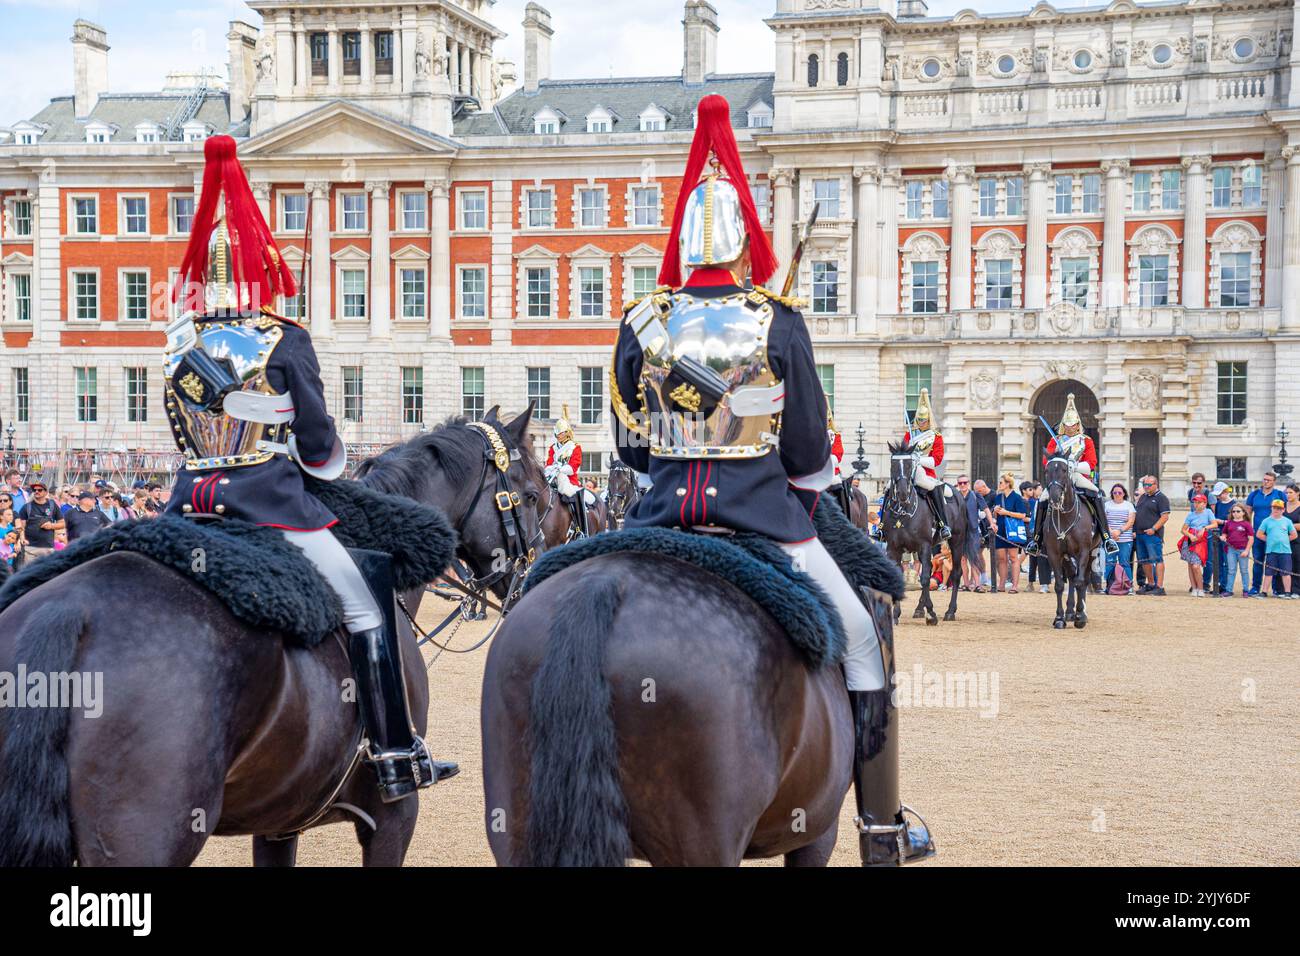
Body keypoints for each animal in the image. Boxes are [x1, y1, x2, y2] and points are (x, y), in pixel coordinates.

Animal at [879, 440, 974, 625]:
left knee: (956, 573)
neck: (903, 511)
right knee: (929, 572)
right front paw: (895, 615)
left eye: (910, 465)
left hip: (956, 542)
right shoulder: (893, 548)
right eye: (893, 465)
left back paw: (950, 611)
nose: (902, 493)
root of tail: (959, 493)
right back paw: (918, 609)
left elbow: (923, 578)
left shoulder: (924, 545)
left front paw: (931, 613)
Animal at [1040, 456, 1099, 630]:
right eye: (1046, 470)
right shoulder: (1055, 554)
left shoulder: (1084, 552)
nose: (1054, 497)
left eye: (1065, 470)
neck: (1066, 516)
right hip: (1067, 557)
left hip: (1093, 552)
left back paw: (1081, 613)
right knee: (1072, 577)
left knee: (1083, 579)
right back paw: (1070, 612)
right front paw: (1060, 618)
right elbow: (1060, 585)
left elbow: (1080, 582)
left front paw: (1080, 617)